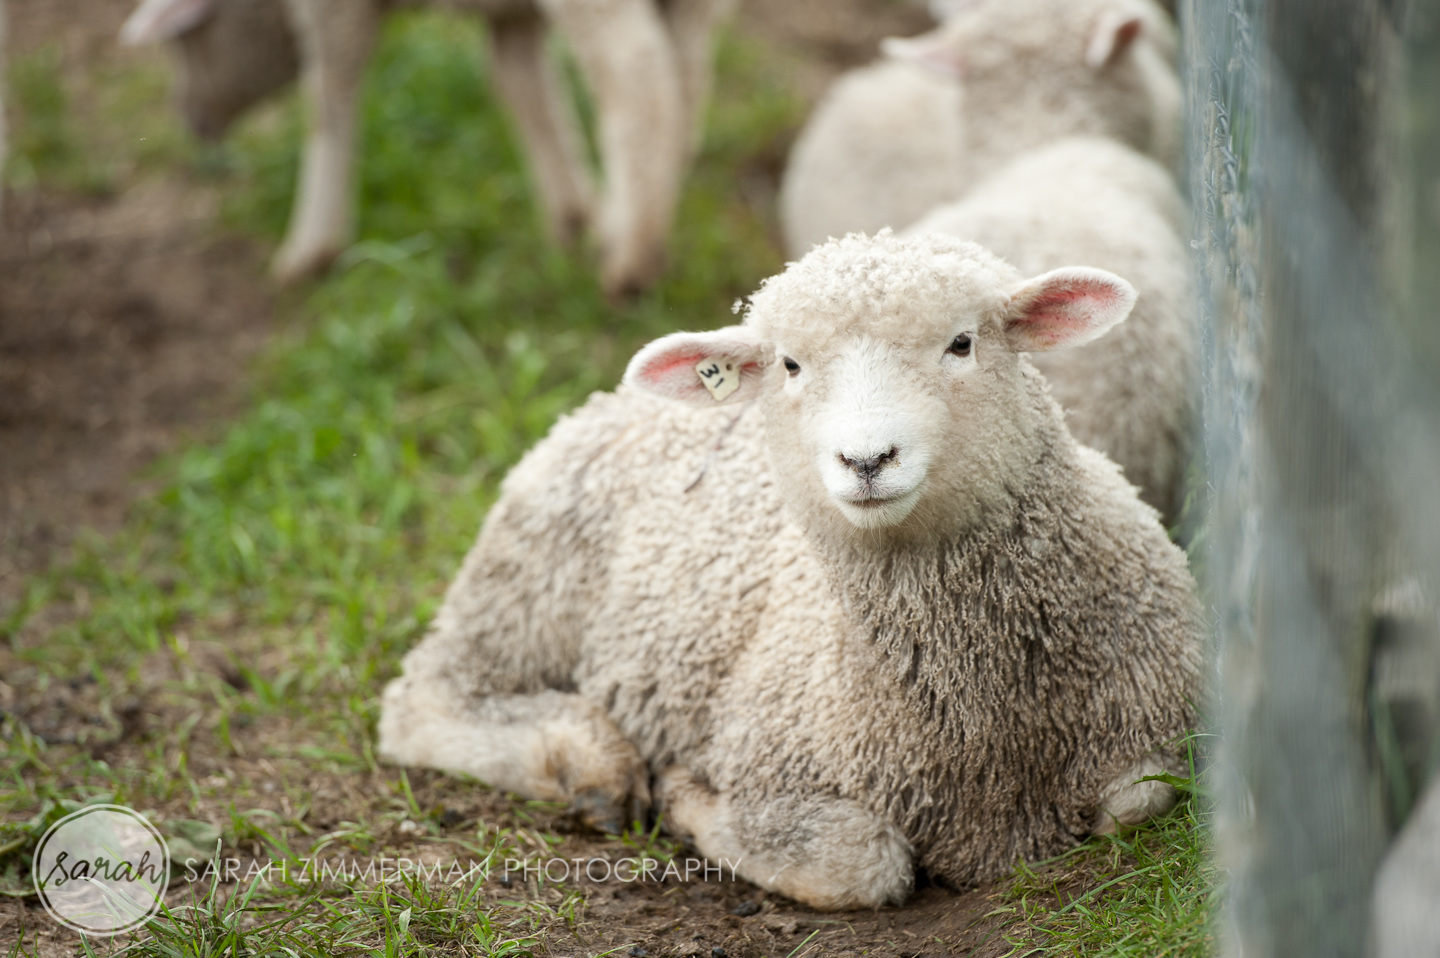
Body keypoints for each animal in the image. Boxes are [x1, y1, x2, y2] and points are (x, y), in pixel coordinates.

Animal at [120, 0, 736, 296]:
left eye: (181, 40)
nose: (190, 121)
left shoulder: (331, 7)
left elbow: (330, 92)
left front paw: (312, 248)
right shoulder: (510, 17)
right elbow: (520, 82)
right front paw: (572, 213)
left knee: (636, 73)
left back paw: (630, 263)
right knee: (686, 78)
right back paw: (634, 224)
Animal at [378, 230, 1204, 910]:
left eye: (962, 343)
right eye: (791, 364)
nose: (866, 460)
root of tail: (606, 398)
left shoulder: (1158, 722)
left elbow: (1135, 803)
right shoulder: (765, 757)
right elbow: (862, 862)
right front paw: (684, 797)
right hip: (522, 589)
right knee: (422, 702)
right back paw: (592, 763)